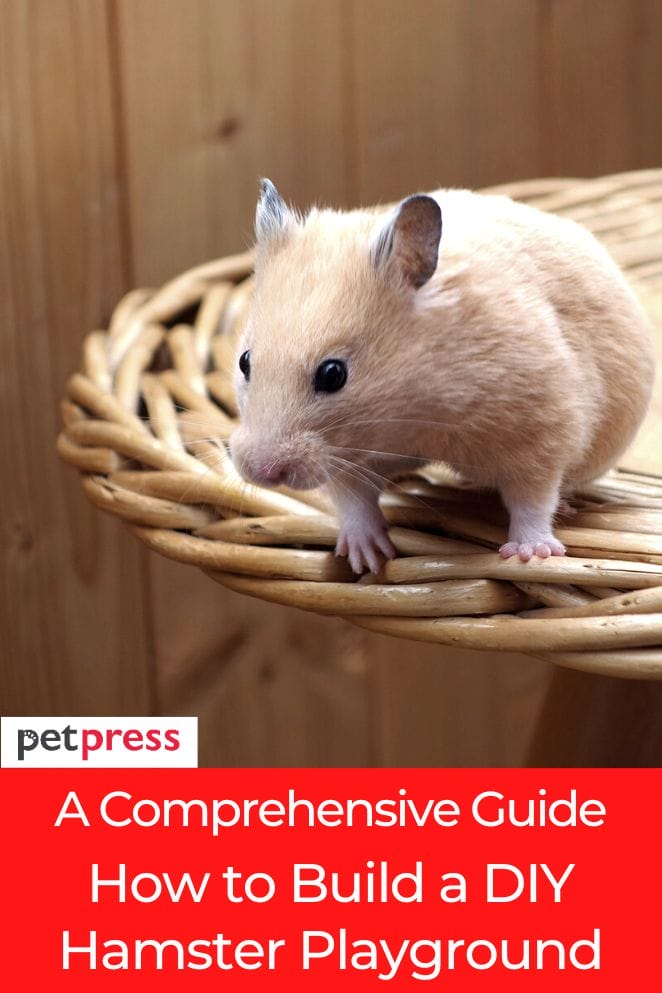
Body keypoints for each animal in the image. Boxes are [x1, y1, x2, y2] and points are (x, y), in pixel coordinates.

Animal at [230, 179, 655, 574]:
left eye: (333, 374)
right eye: (245, 361)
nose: (262, 473)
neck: (414, 411)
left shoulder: (543, 430)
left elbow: (533, 497)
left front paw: (529, 555)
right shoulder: (345, 458)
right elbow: (354, 499)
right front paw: (367, 559)